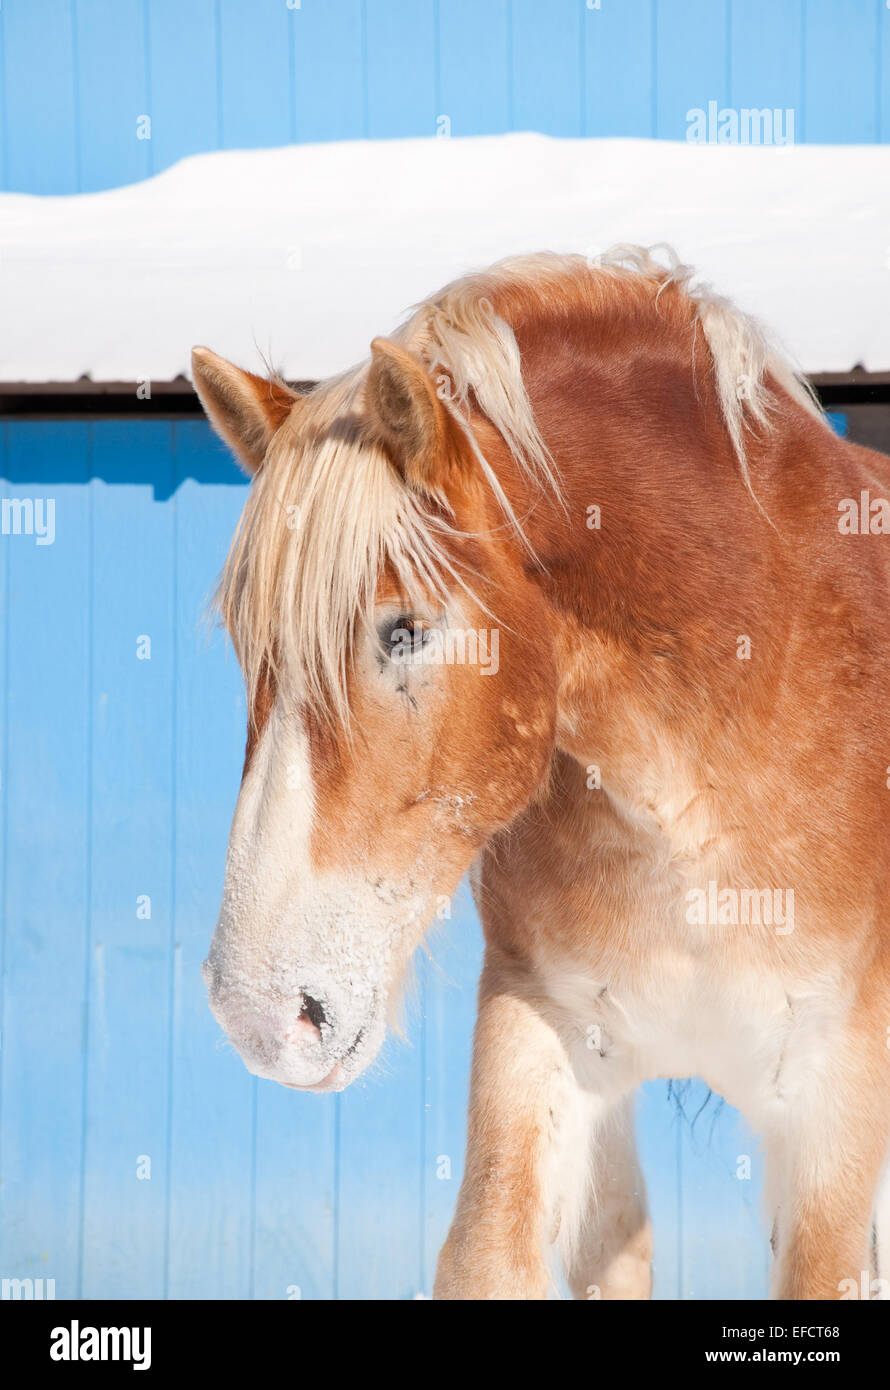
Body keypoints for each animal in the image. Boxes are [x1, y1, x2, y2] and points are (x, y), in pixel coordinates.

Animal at [193, 247, 890, 1300]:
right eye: (245, 645)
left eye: (404, 630)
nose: (261, 1017)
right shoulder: (541, 1032)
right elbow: (490, 1255)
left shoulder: (833, 1110)